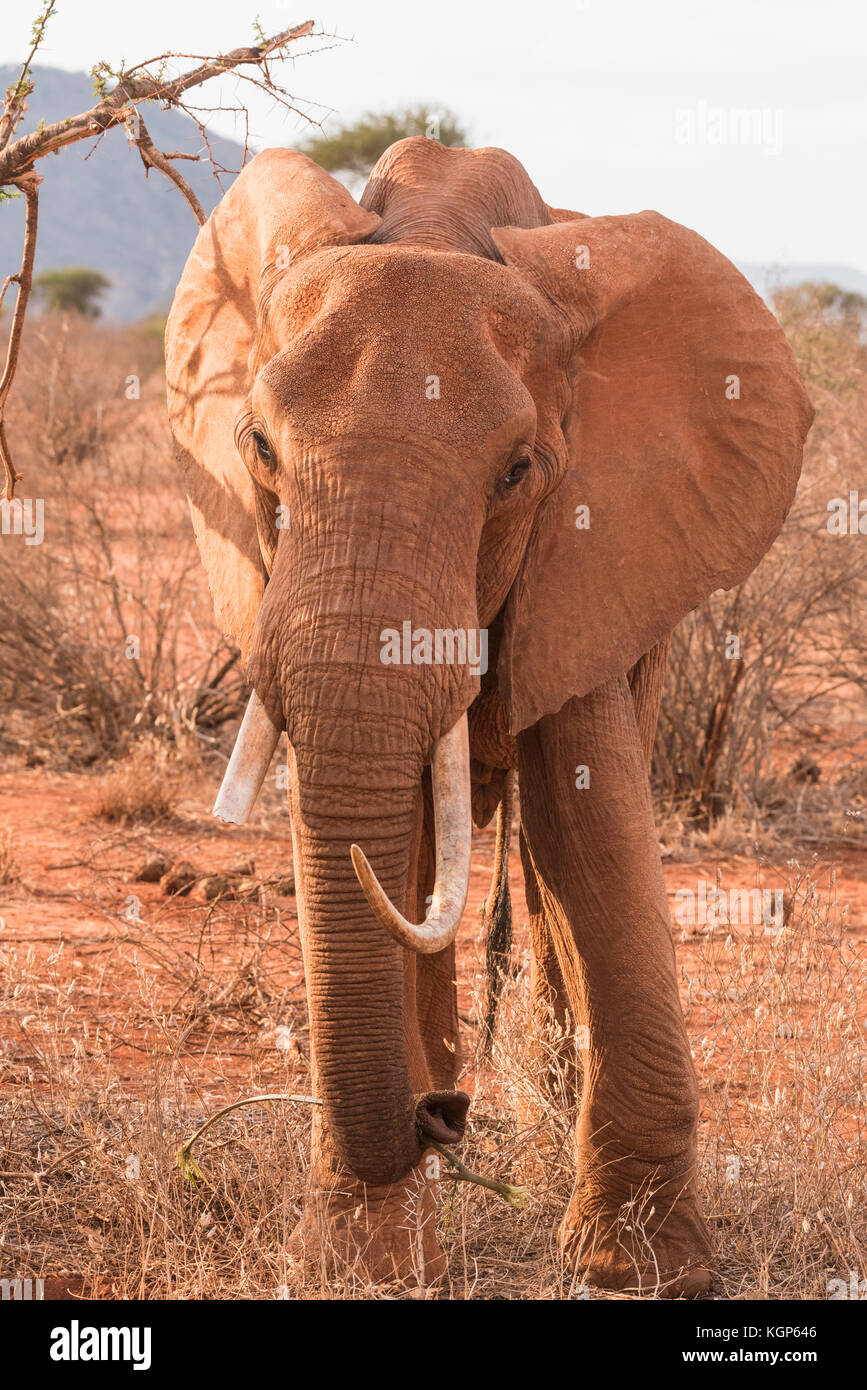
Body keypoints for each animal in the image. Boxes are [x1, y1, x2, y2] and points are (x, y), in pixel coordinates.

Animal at [164, 137, 812, 1295]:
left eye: (516, 473)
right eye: (259, 448)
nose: (441, 1114)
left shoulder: (595, 546)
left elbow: (591, 832)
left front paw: (641, 1269)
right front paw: (367, 1263)